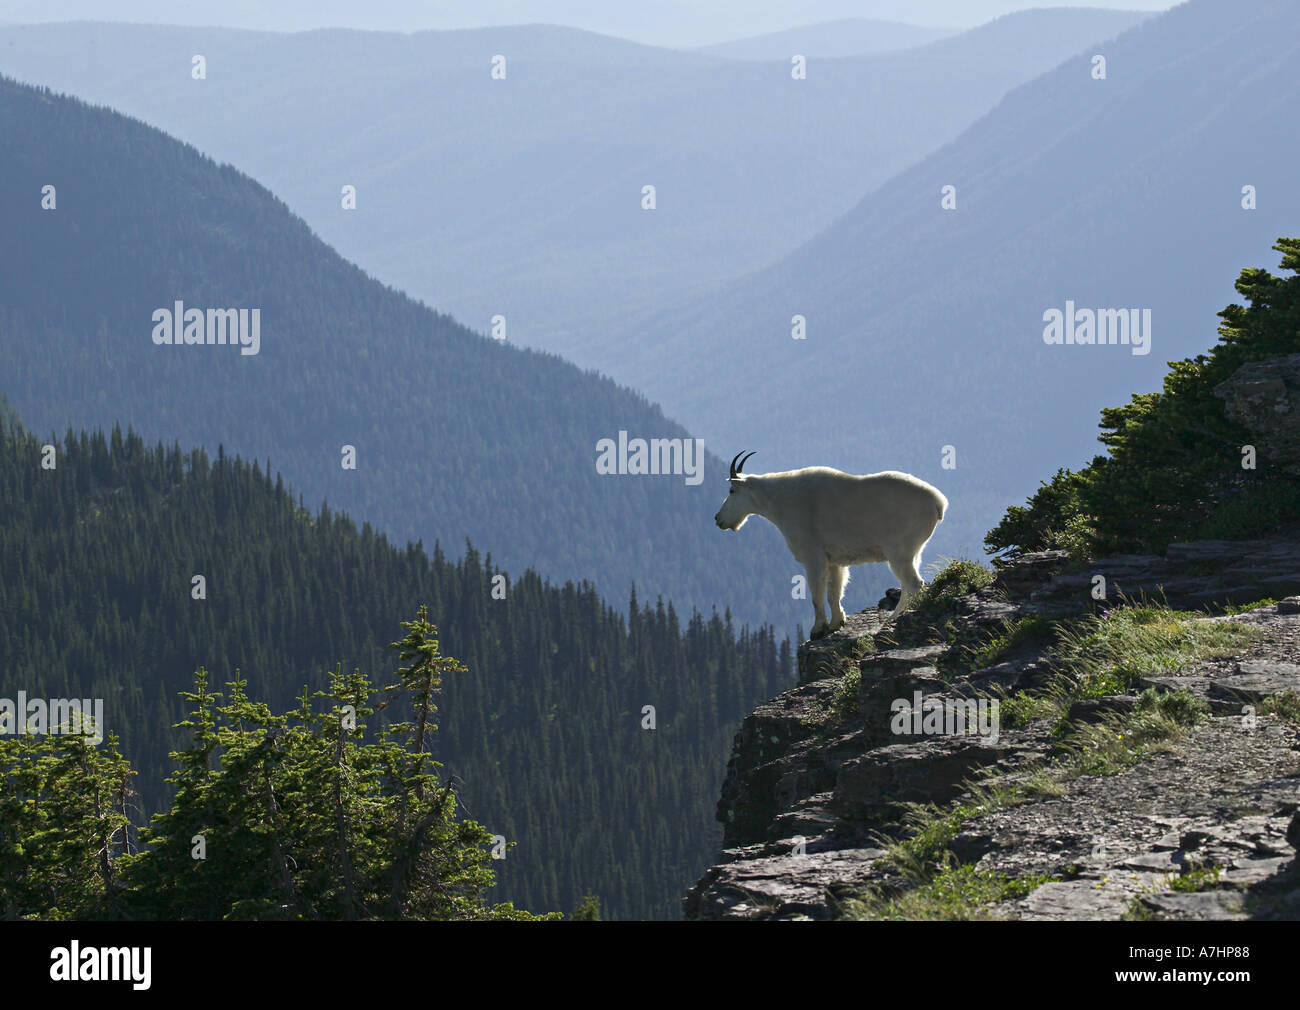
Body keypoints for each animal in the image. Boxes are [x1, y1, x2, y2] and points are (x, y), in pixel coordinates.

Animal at [714, 452, 948, 638]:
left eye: (732, 491)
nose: (718, 519)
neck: (780, 500)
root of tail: (938, 502)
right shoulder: (835, 560)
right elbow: (834, 592)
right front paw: (837, 623)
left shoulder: (813, 557)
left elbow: (817, 595)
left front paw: (817, 629)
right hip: (913, 551)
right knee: (909, 583)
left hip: (899, 551)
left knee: (914, 584)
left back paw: (893, 619)